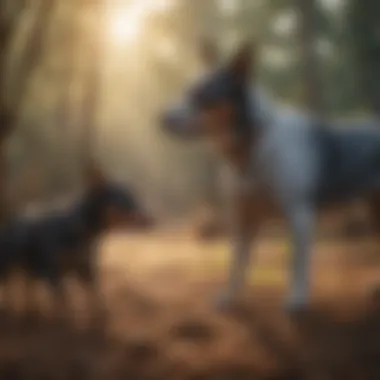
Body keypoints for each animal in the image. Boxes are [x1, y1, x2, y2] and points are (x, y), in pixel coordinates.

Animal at [0, 168, 153, 320]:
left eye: (135, 201)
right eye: (125, 202)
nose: (151, 219)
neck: (82, 233)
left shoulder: (86, 270)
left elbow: (97, 297)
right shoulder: (54, 272)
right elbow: (64, 303)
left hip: (29, 268)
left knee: (27, 288)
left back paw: (31, 311)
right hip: (10, 267)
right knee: (11, 289)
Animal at [161, 39, 380, 314]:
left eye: (201, 96)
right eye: (186, 91)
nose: (159, 118)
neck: (254, 146)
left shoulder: (299, 216)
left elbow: (297, 264)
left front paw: (297, 299)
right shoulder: (243, 219)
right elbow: (236, 264)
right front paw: (229, 297)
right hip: (374, 213)